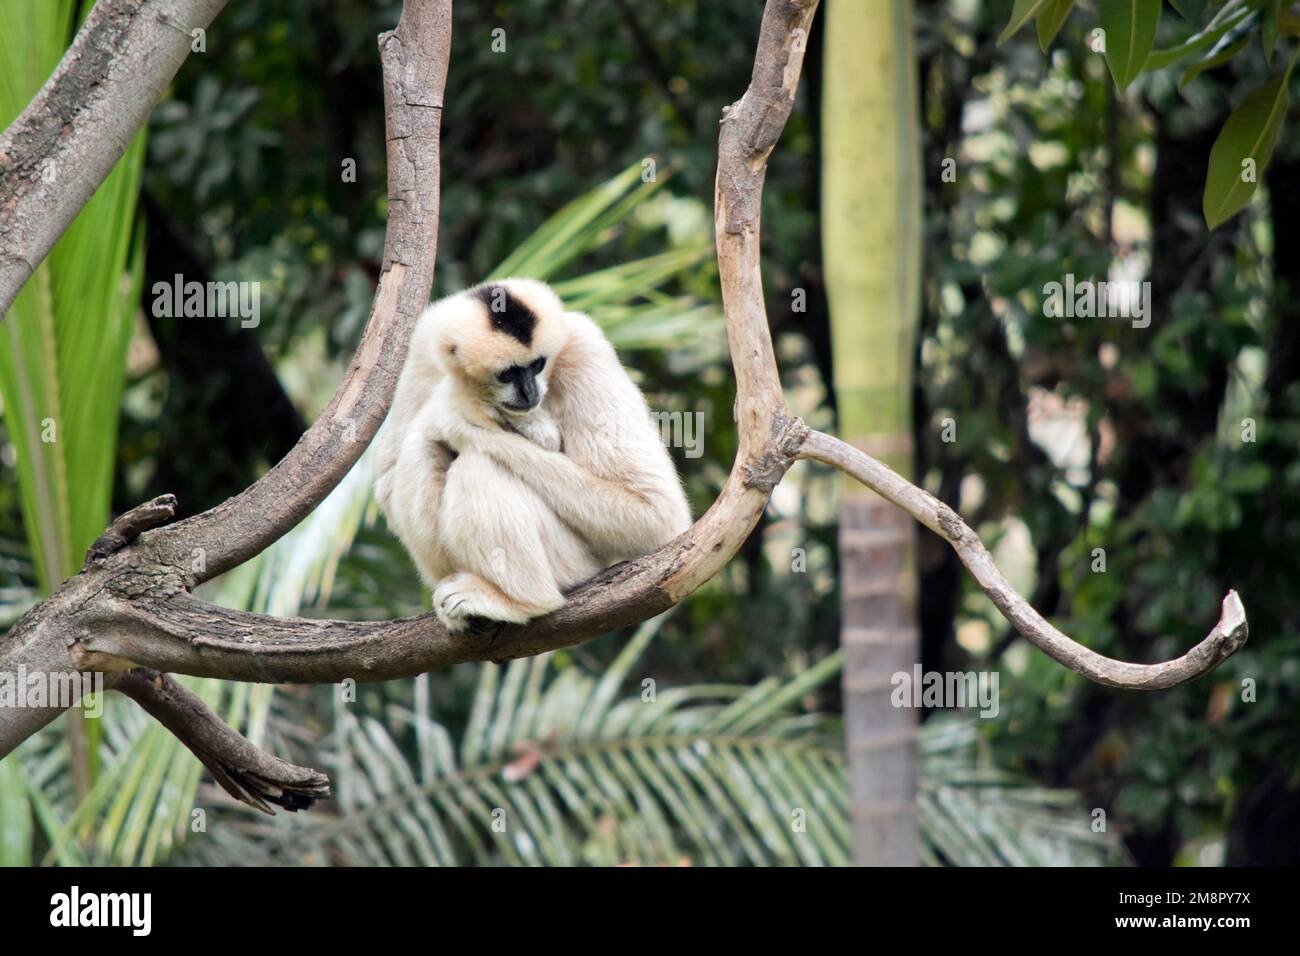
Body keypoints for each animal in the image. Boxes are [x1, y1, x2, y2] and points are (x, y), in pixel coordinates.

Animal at [375, 278, 691, 634]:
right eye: (507, 373)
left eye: (538, 365)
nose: (529, 392)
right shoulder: (424, 341)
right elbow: (387, 481)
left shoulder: (584, 346)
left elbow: (654, 512)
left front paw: (461, 411)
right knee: (421, 448)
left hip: (575, 561)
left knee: (478, 463)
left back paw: (524, 601)